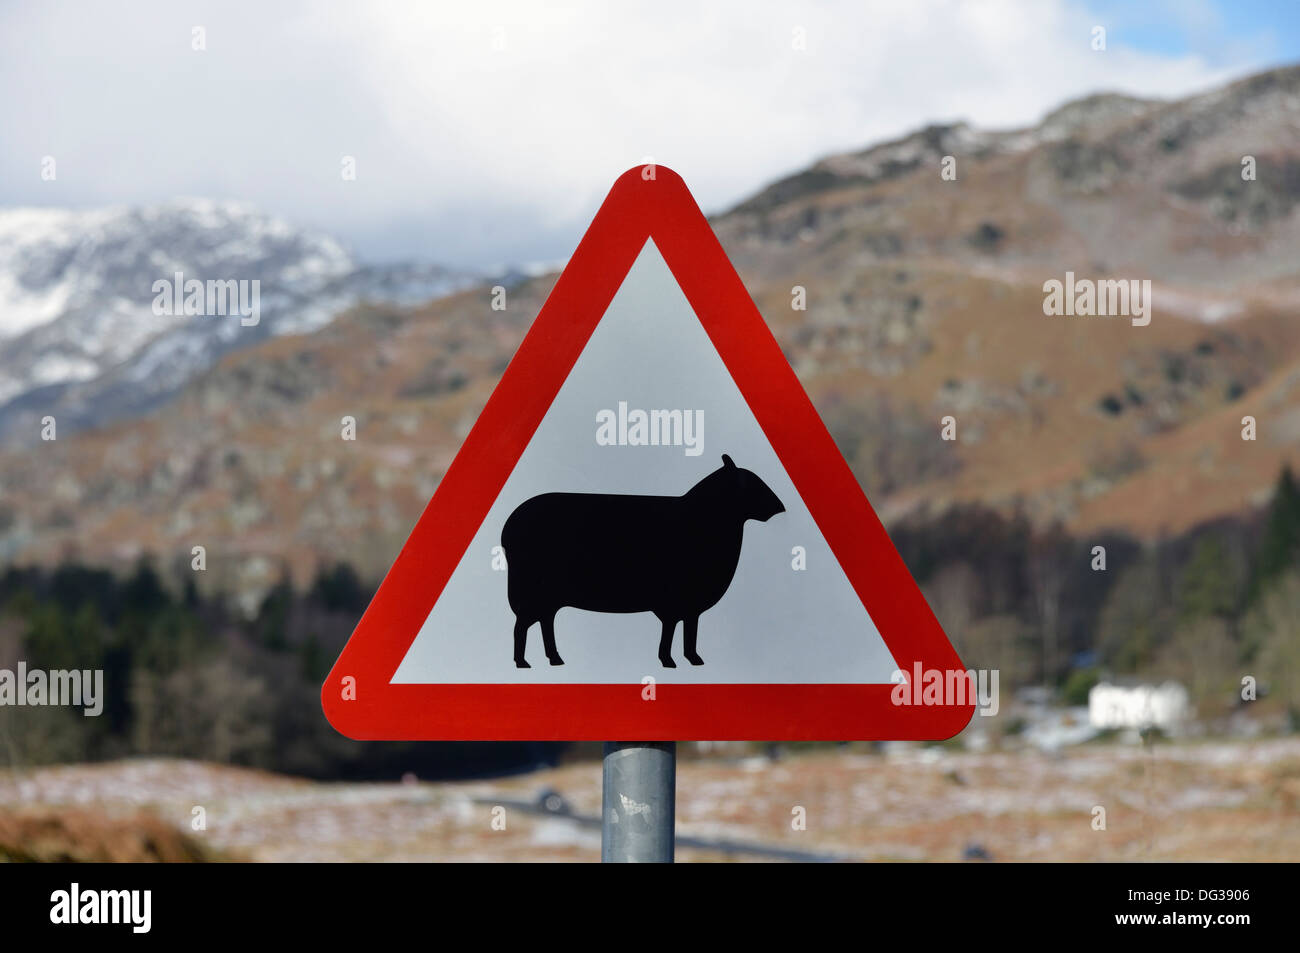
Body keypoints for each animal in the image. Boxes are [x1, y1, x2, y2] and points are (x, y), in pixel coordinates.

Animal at [501, 454, 785, 668]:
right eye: (750, 484)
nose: (780, 507)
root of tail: (507, 530)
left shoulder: (689, 605)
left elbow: (689, 631)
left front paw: (692, 659)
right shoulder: (674, 600)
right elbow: (671, 630)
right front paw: (669, 661)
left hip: (547, 598)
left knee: (544, 622)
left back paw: (554, 658)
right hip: (532, 593)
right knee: (521, 626)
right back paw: (522, 662)